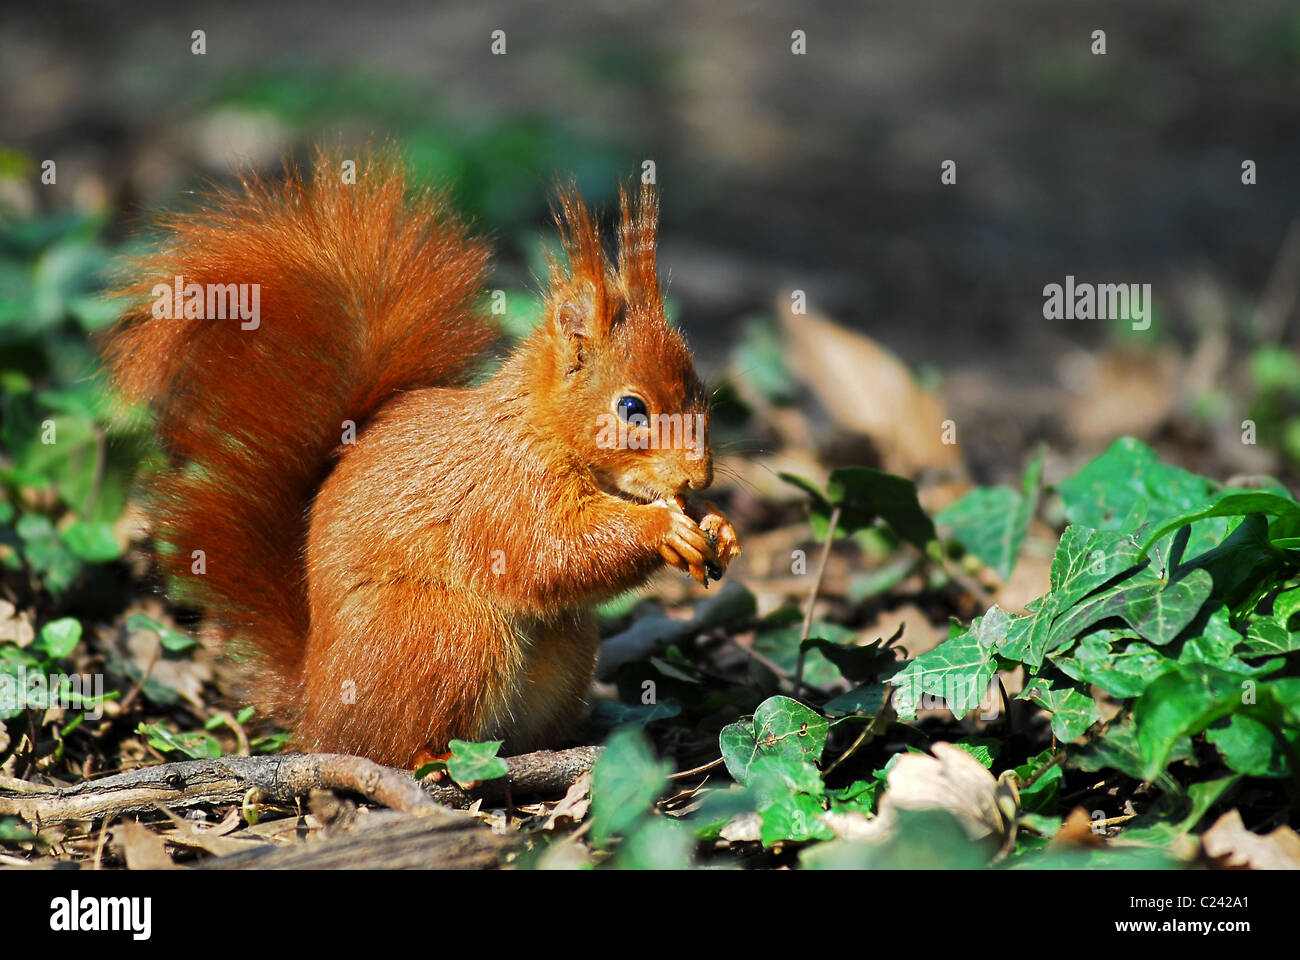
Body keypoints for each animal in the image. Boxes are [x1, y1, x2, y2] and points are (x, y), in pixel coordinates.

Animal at [104, 149, 740, 769]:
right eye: (631, 408)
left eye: (703, 394)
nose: (699, 474)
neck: (540, 426)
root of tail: (313, 702)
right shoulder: (506, 488)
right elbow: (552, 551)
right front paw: (663, 527)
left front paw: (717, 523)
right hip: (445, 632)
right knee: (387, 743)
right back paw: (435, 758)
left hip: (564, 646)